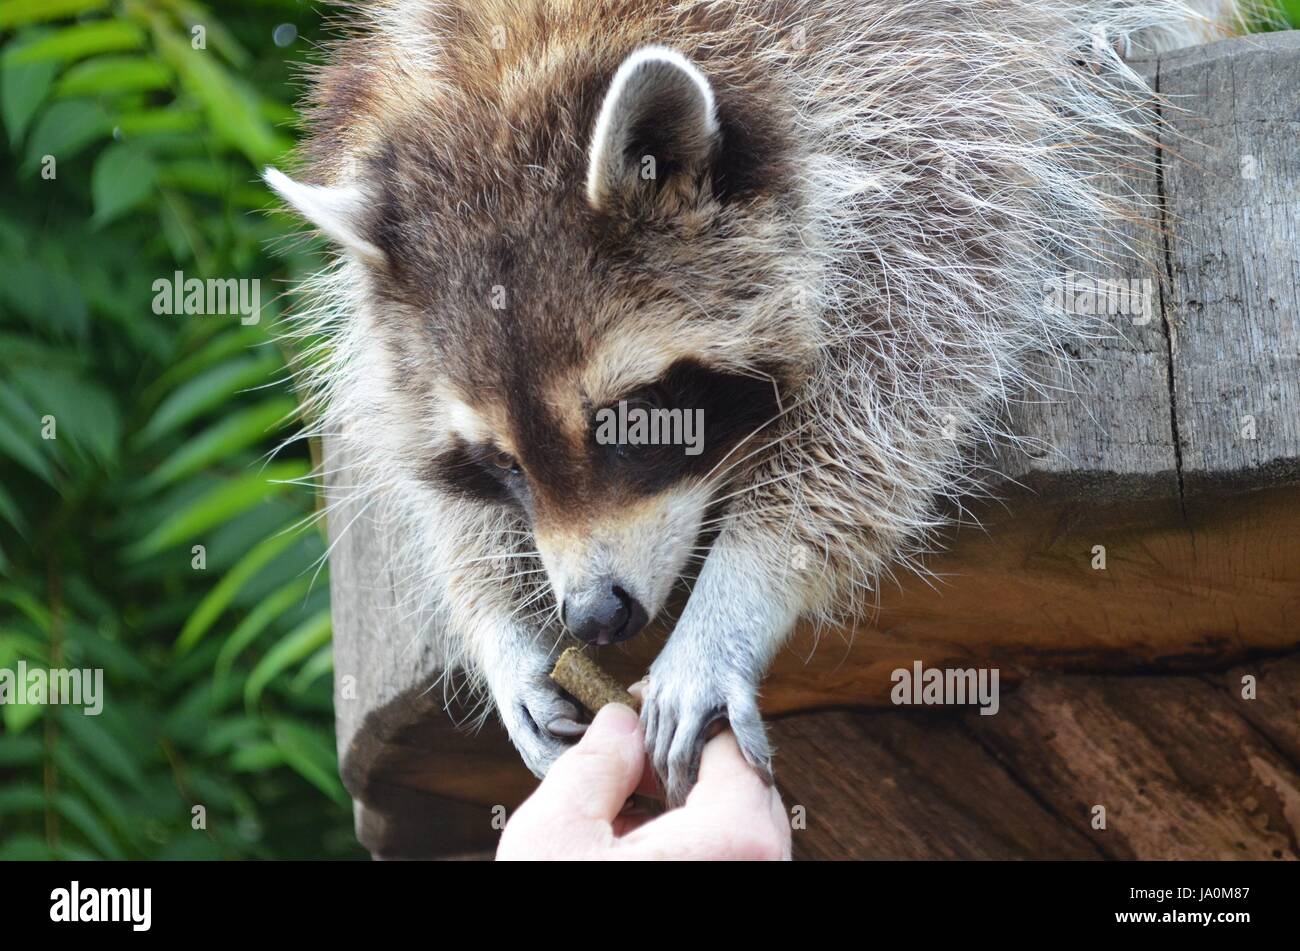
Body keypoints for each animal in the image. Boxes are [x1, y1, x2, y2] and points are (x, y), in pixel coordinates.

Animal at [267, 0, 1245, 805]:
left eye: (630, 417)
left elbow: (914, 347)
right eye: (498, 460)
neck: (525, 63)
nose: (592, 616)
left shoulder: (921, 89)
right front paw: (499, 621)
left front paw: (738, 593)